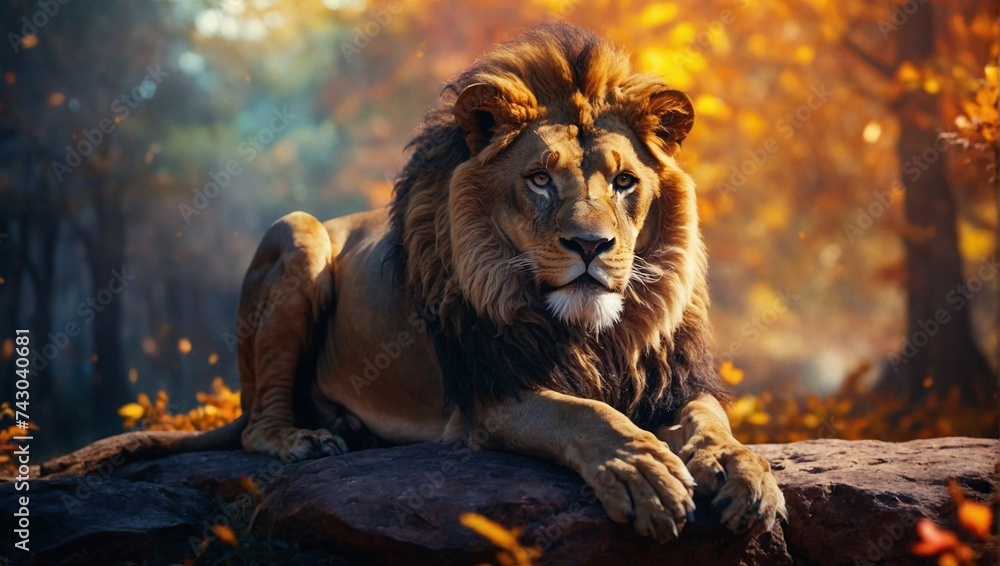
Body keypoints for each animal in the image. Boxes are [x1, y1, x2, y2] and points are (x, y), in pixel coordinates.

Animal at [44, 23, 785, 542]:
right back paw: (308, 437)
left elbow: (712, 421)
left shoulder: (673, 378)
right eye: (539, 180)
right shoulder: (489, 390)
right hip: (299, 235)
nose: (590, 246)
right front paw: (643, 471)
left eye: (626, 182)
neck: (591, 329)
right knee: (257, 426)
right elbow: (586, 414)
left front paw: (745, 474)